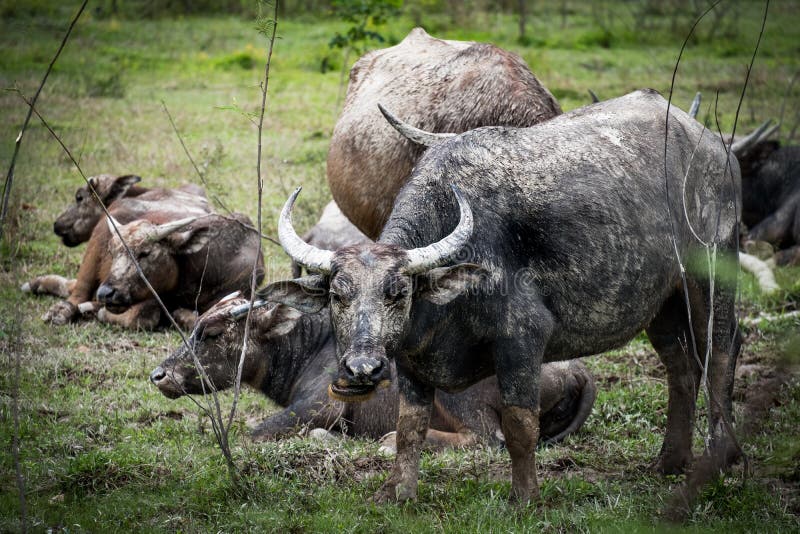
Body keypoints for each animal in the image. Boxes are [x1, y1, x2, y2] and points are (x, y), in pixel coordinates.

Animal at [265, 90, 741, 505]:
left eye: (398, 293)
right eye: (337, 295)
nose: (361, 369)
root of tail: (714, 148)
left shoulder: (522, 340)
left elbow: (518, 425)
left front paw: (525, 497)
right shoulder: (414, 360)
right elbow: (409, 427)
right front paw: (398, 493)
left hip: (714, 271)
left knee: (721, 351)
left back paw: (723, 459)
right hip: (663, 302)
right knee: (681, 366)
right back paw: (669, 462)